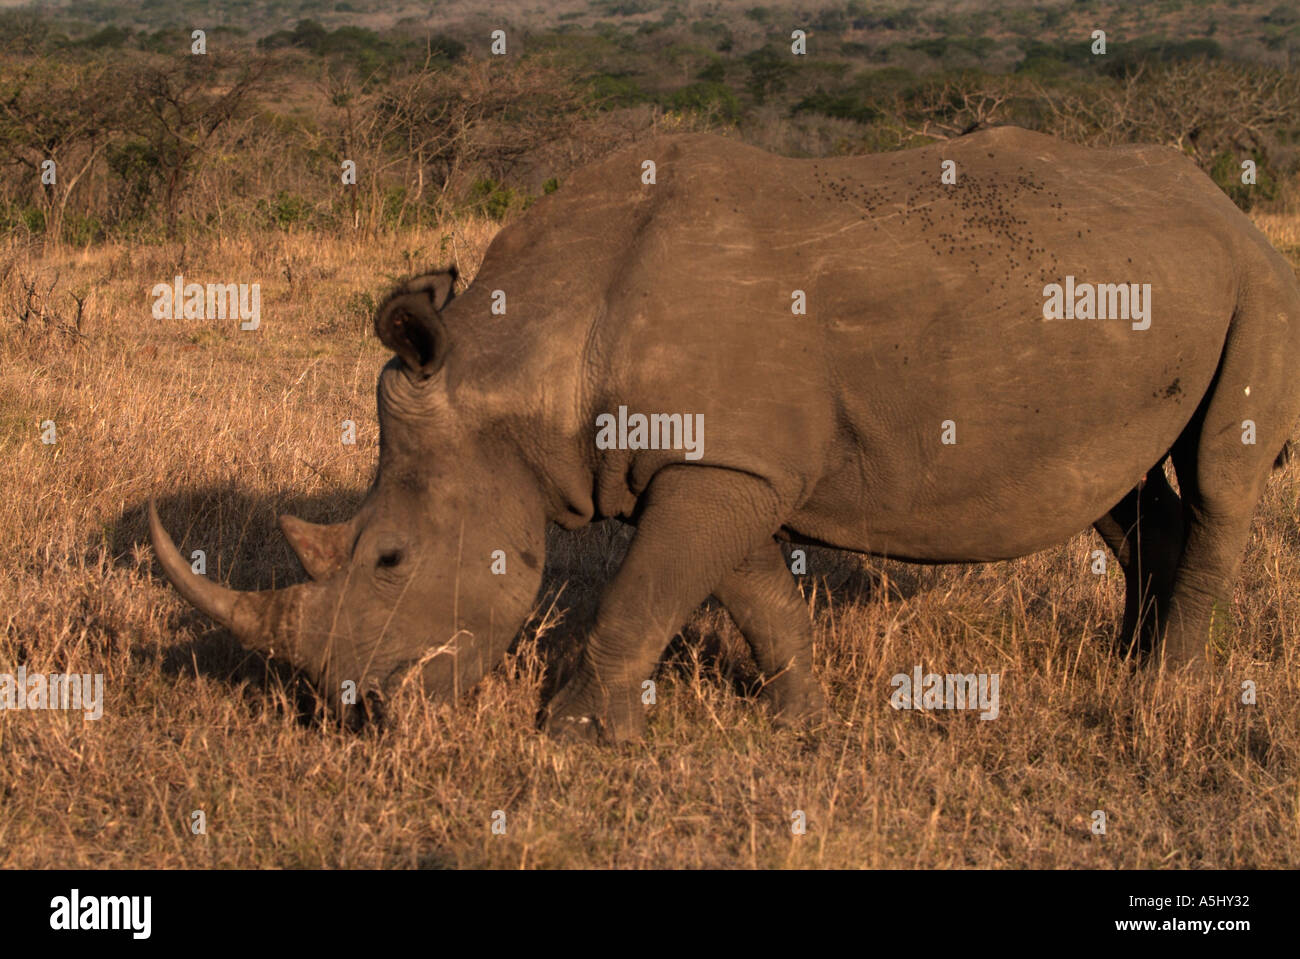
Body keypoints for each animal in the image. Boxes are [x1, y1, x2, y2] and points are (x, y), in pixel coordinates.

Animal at [150, 127, 1300, 742]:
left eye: (389, 558)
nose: (357, 714)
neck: (521, 352)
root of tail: (1220, 200)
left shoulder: (721, 461)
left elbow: (643, 593)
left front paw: (572, 736)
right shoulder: (718, 458)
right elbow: (746, 593)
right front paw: (800, 720)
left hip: (1259, 278)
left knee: (1219, 474)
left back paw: (1161, 690)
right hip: (1149, 289)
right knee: (1114, 486)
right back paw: (1130, 661)